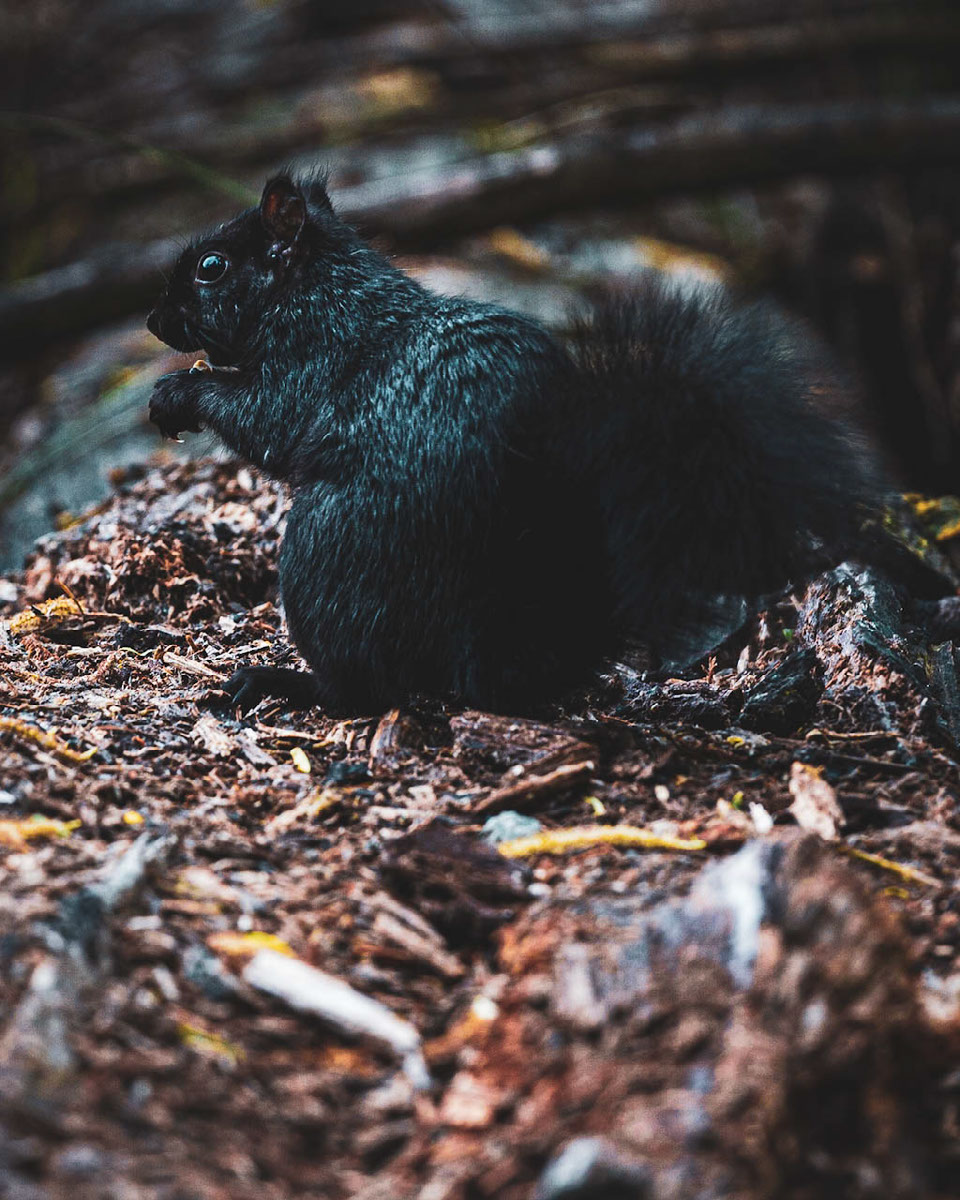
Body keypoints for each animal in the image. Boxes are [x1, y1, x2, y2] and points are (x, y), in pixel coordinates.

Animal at [147, 173, 875, 714]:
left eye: (212, 267)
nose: (153, 320)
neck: (324, 292)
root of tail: (500, 659)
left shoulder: (312, 367)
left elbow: (266, 419)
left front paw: (177, 393)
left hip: (326, 556)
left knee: (365, 689)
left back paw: (286, 682)